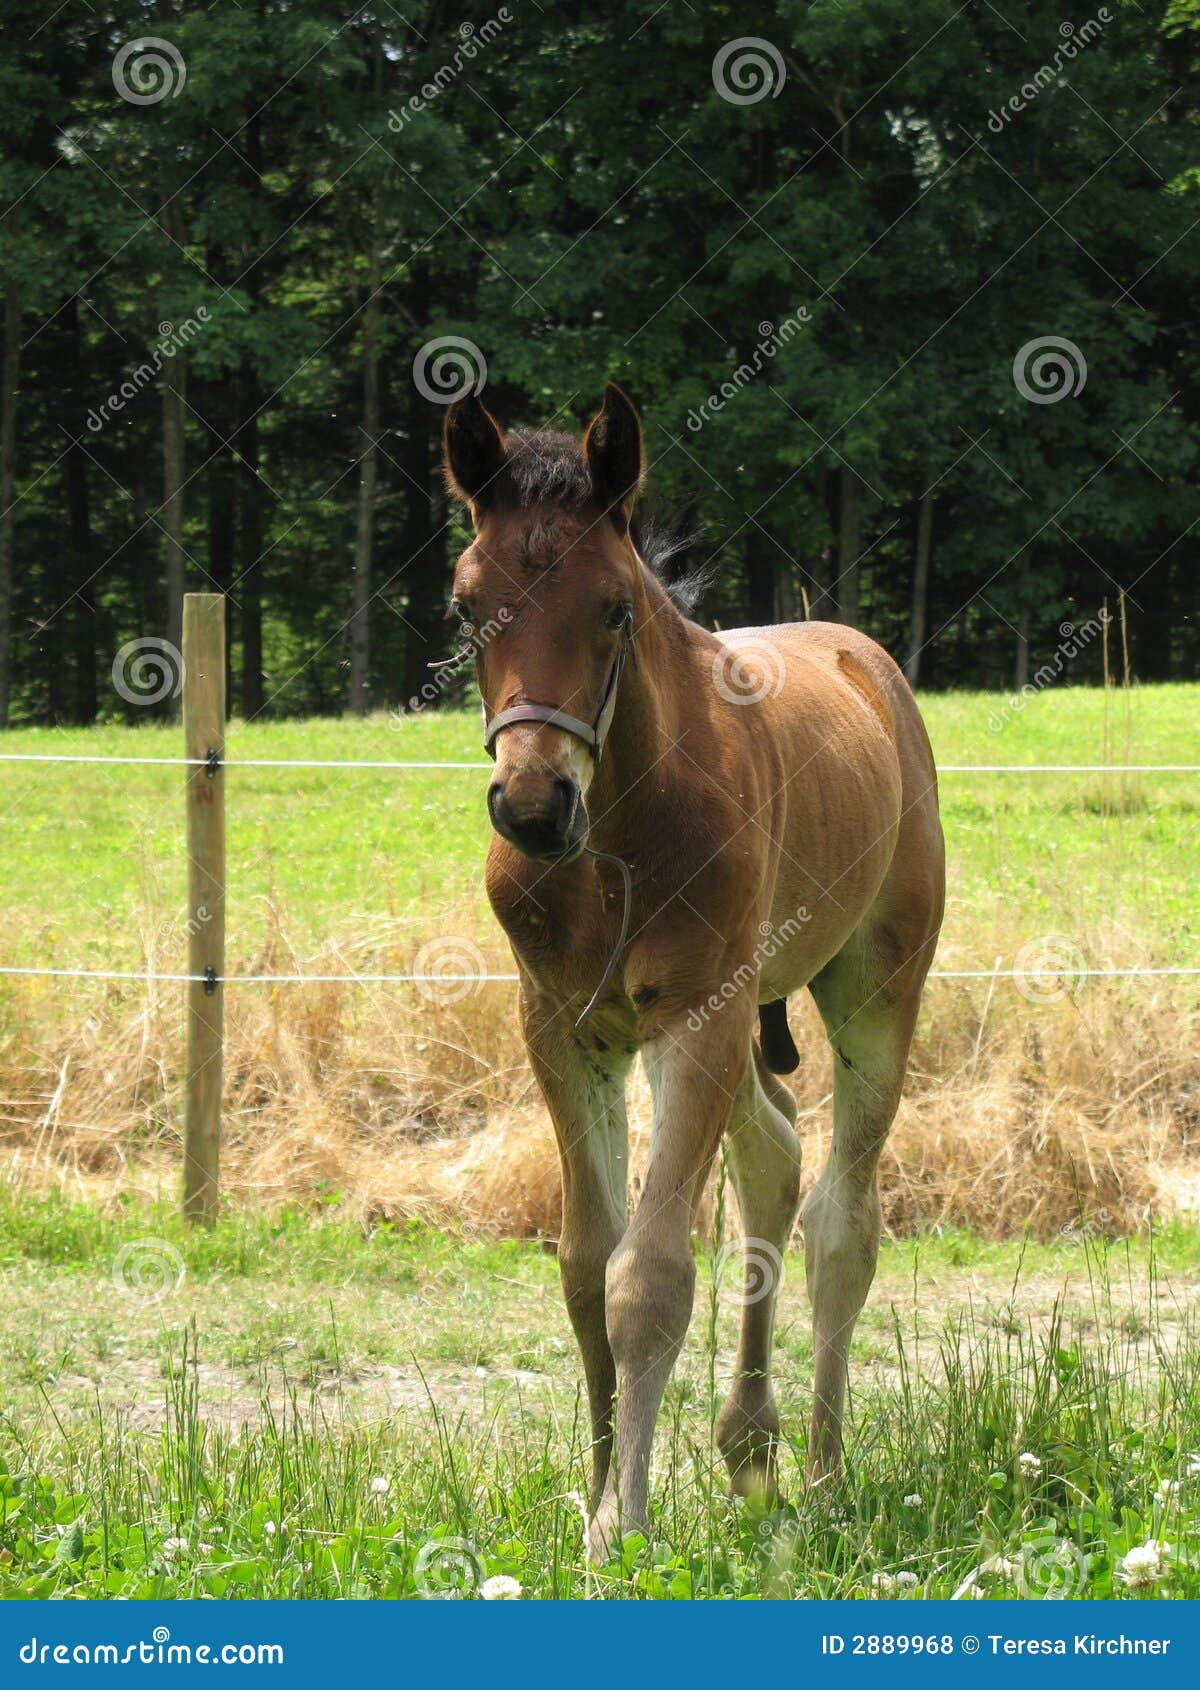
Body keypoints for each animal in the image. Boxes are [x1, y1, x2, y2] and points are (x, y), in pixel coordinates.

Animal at [442, 382, 945, 1559]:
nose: (532, 806)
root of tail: (867, 661)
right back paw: (749, 1446)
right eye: (465, 605)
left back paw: (822, 1479)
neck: (615, 843)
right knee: (773, 1156)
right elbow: (587, 1268)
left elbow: (651, 1277)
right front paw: (593, 1498)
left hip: (872, 995)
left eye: (615, 608)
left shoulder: (695, 1016)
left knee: (841, 1225)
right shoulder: (563, 1030)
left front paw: (616, 1531)